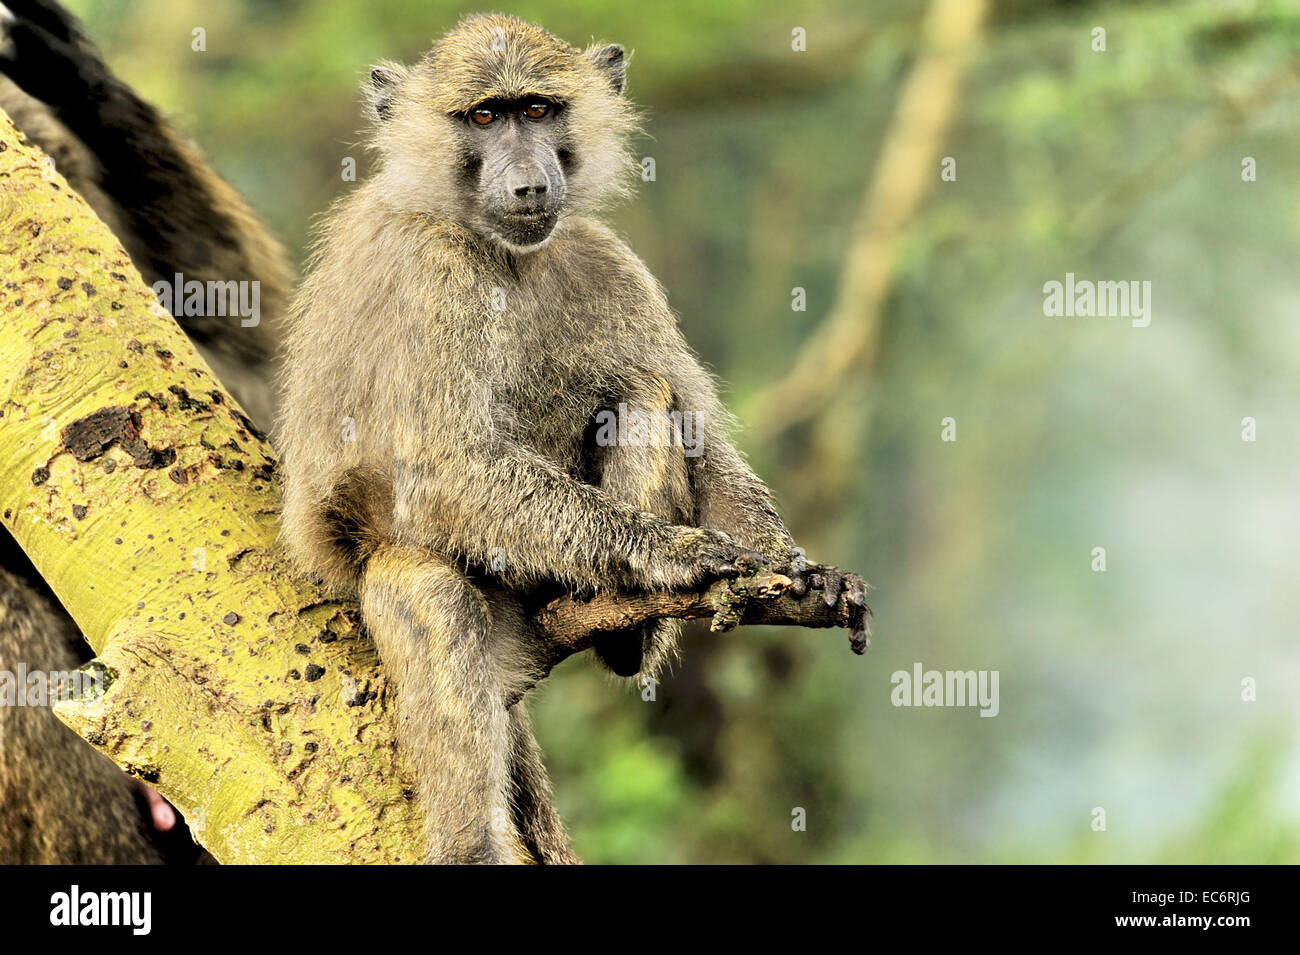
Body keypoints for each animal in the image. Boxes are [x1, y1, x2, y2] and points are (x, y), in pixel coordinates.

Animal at [277, 13, 864, 864]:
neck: (498, 251)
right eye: (484, 116)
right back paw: (472, 844)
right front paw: (669, 551)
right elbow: (447, 467)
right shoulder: (432, 276)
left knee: (644, 393)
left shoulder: (609, 261)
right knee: (427, 590)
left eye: (538, 110)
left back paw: (627, 633)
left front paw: (800, 569)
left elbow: (697, 432)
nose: (529, 183)